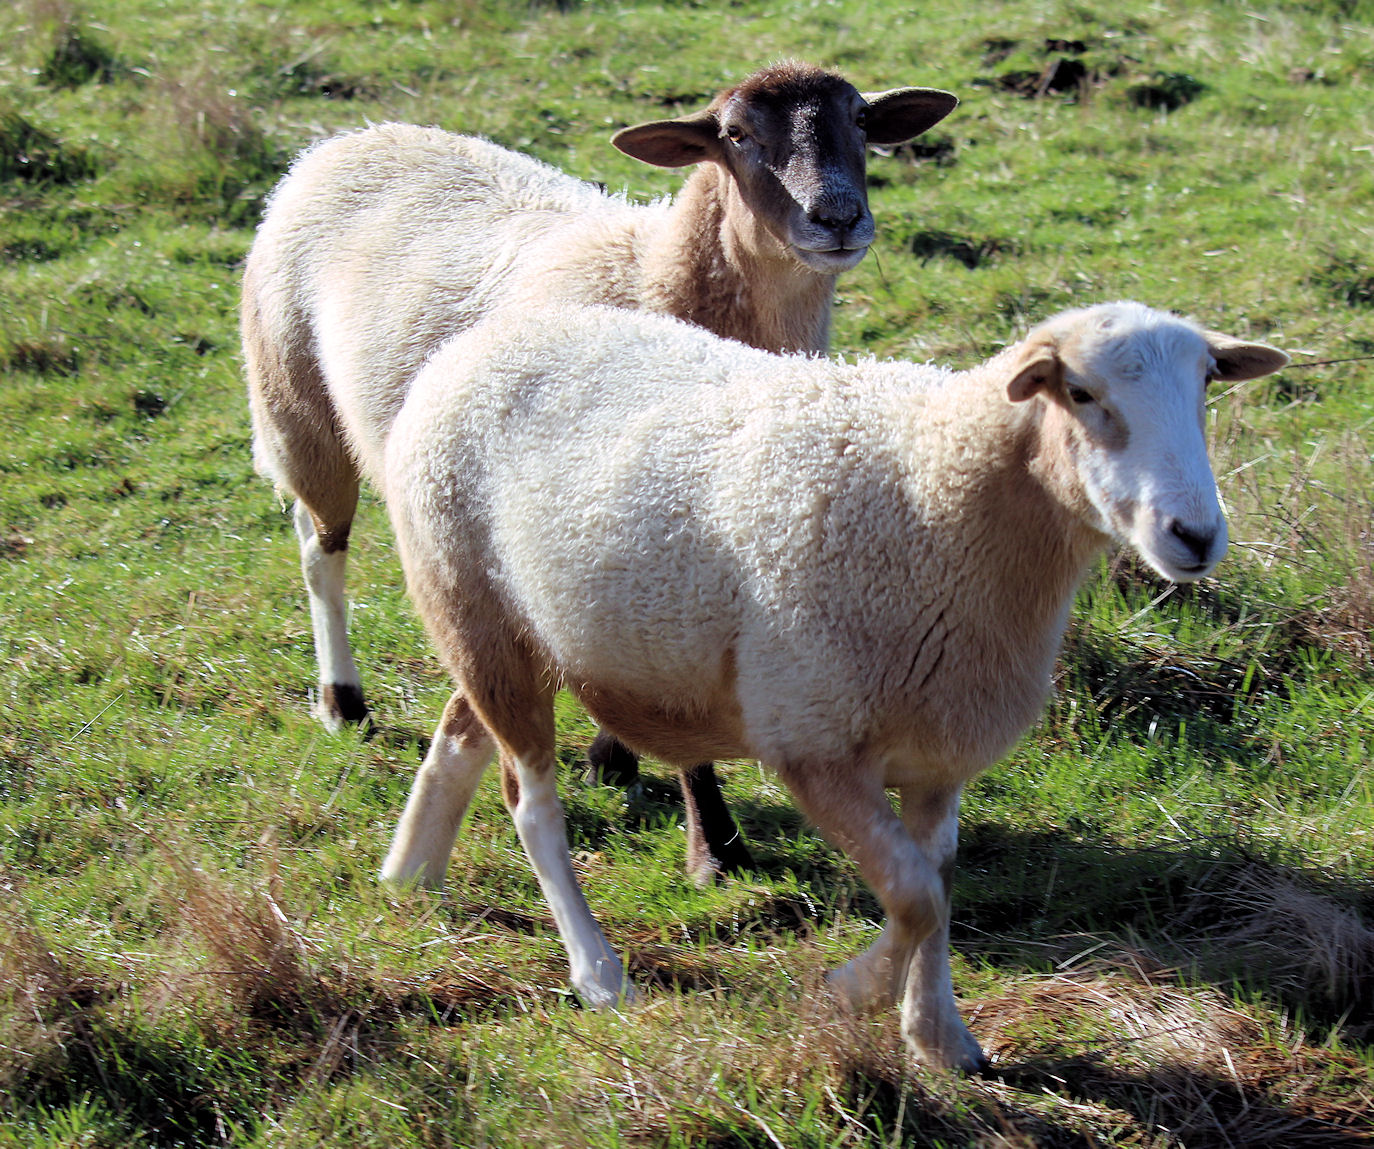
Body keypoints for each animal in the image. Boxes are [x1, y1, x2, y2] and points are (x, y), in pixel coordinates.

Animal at [241, 60, 959, 885]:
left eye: (862, 121)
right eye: (736, 134)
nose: (838, 217)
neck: (658, 280)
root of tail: (345, 141)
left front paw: (616, 757)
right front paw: (715, 846)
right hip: (298, 411)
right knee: (319, 548)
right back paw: (343, 700)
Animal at [378, 299, 1287, 1069]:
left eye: (1206, 385)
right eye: (1082, 392)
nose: (1196, 534)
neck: (938, 493)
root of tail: (481, 339)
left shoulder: (937, 754)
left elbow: (939, 883)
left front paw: (939, 1034)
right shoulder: (812, 735)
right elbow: (917, 898)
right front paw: (849, 992)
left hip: (506, 624)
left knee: (459, 732)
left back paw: (410, 873)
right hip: (474, 602)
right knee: (531, 802)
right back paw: (597, 972)